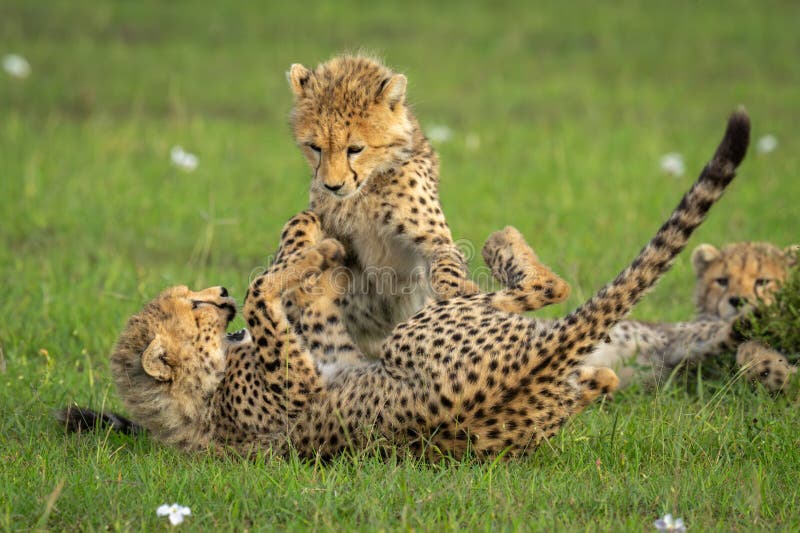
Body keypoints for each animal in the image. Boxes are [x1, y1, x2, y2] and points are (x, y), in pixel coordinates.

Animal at [60, 110, 750, 459]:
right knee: (532, 293)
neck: (196, 399)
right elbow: (270, 291)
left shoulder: (323, 345)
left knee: (569, 338)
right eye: (198, 308)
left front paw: (309, 244)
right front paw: (313, 253)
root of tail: (534, 366)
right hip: (424, 330)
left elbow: (289, 286)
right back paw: (501, 244)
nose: (219, 297)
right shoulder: (298, 376)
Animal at [286, 54, 481, 358]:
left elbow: (446, 263)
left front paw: (456, 293)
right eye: (315, 147)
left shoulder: (433, 239)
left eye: (355, 149)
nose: (332, 186)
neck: (366, 190)